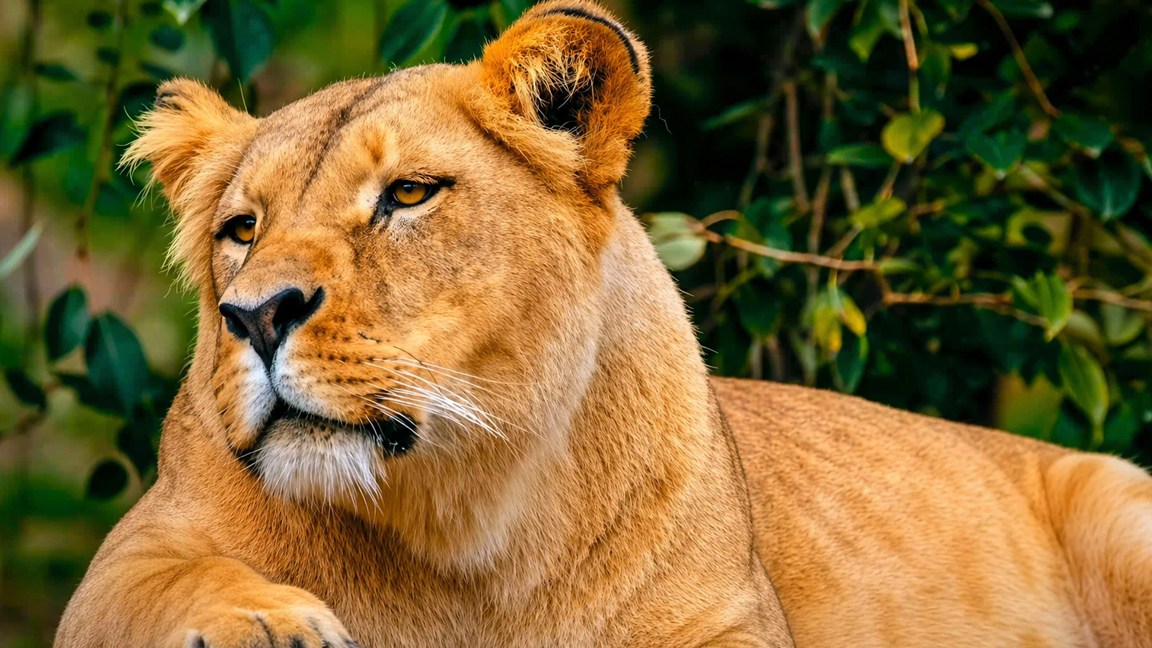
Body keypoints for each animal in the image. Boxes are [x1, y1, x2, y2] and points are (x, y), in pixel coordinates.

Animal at [55, 2, 1152, 647]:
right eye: (242, 230)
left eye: (407, 194)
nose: (254, 315)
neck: (456, 523)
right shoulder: (131, 554)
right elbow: (151, 586)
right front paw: (262, 622)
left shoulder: (725, 624)